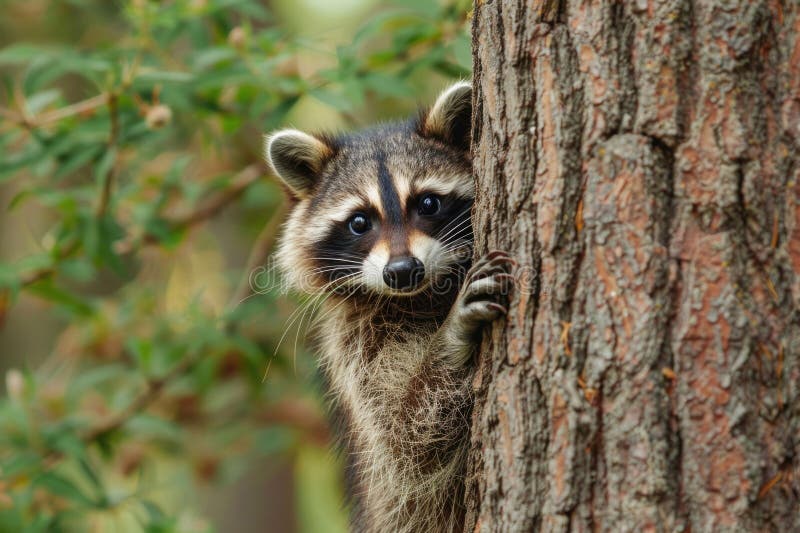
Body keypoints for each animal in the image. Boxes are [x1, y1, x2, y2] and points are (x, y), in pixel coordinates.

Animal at [265, 82, 514, 533]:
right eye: (359, 222)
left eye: (428, 204)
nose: (402, 271)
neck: (422, 296)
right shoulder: (354, 344)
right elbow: (407, 440)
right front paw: (453, 335)